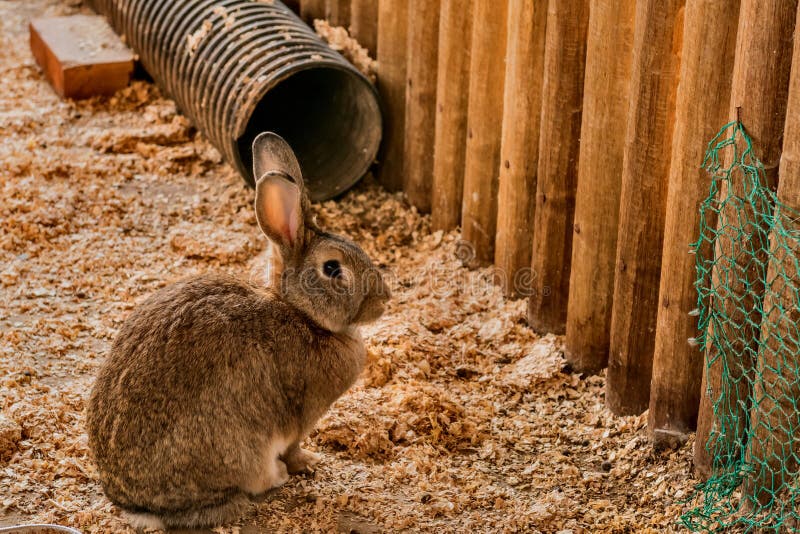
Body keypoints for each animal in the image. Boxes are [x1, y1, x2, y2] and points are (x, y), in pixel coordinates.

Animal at [86, 132, 390, 530]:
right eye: (332, 269)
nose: (384, 300)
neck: (300, 313)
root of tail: (134, 504)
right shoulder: (301, 417)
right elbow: (294, 447)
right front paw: (309, 463)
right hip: (240, 447)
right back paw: (276, 476)